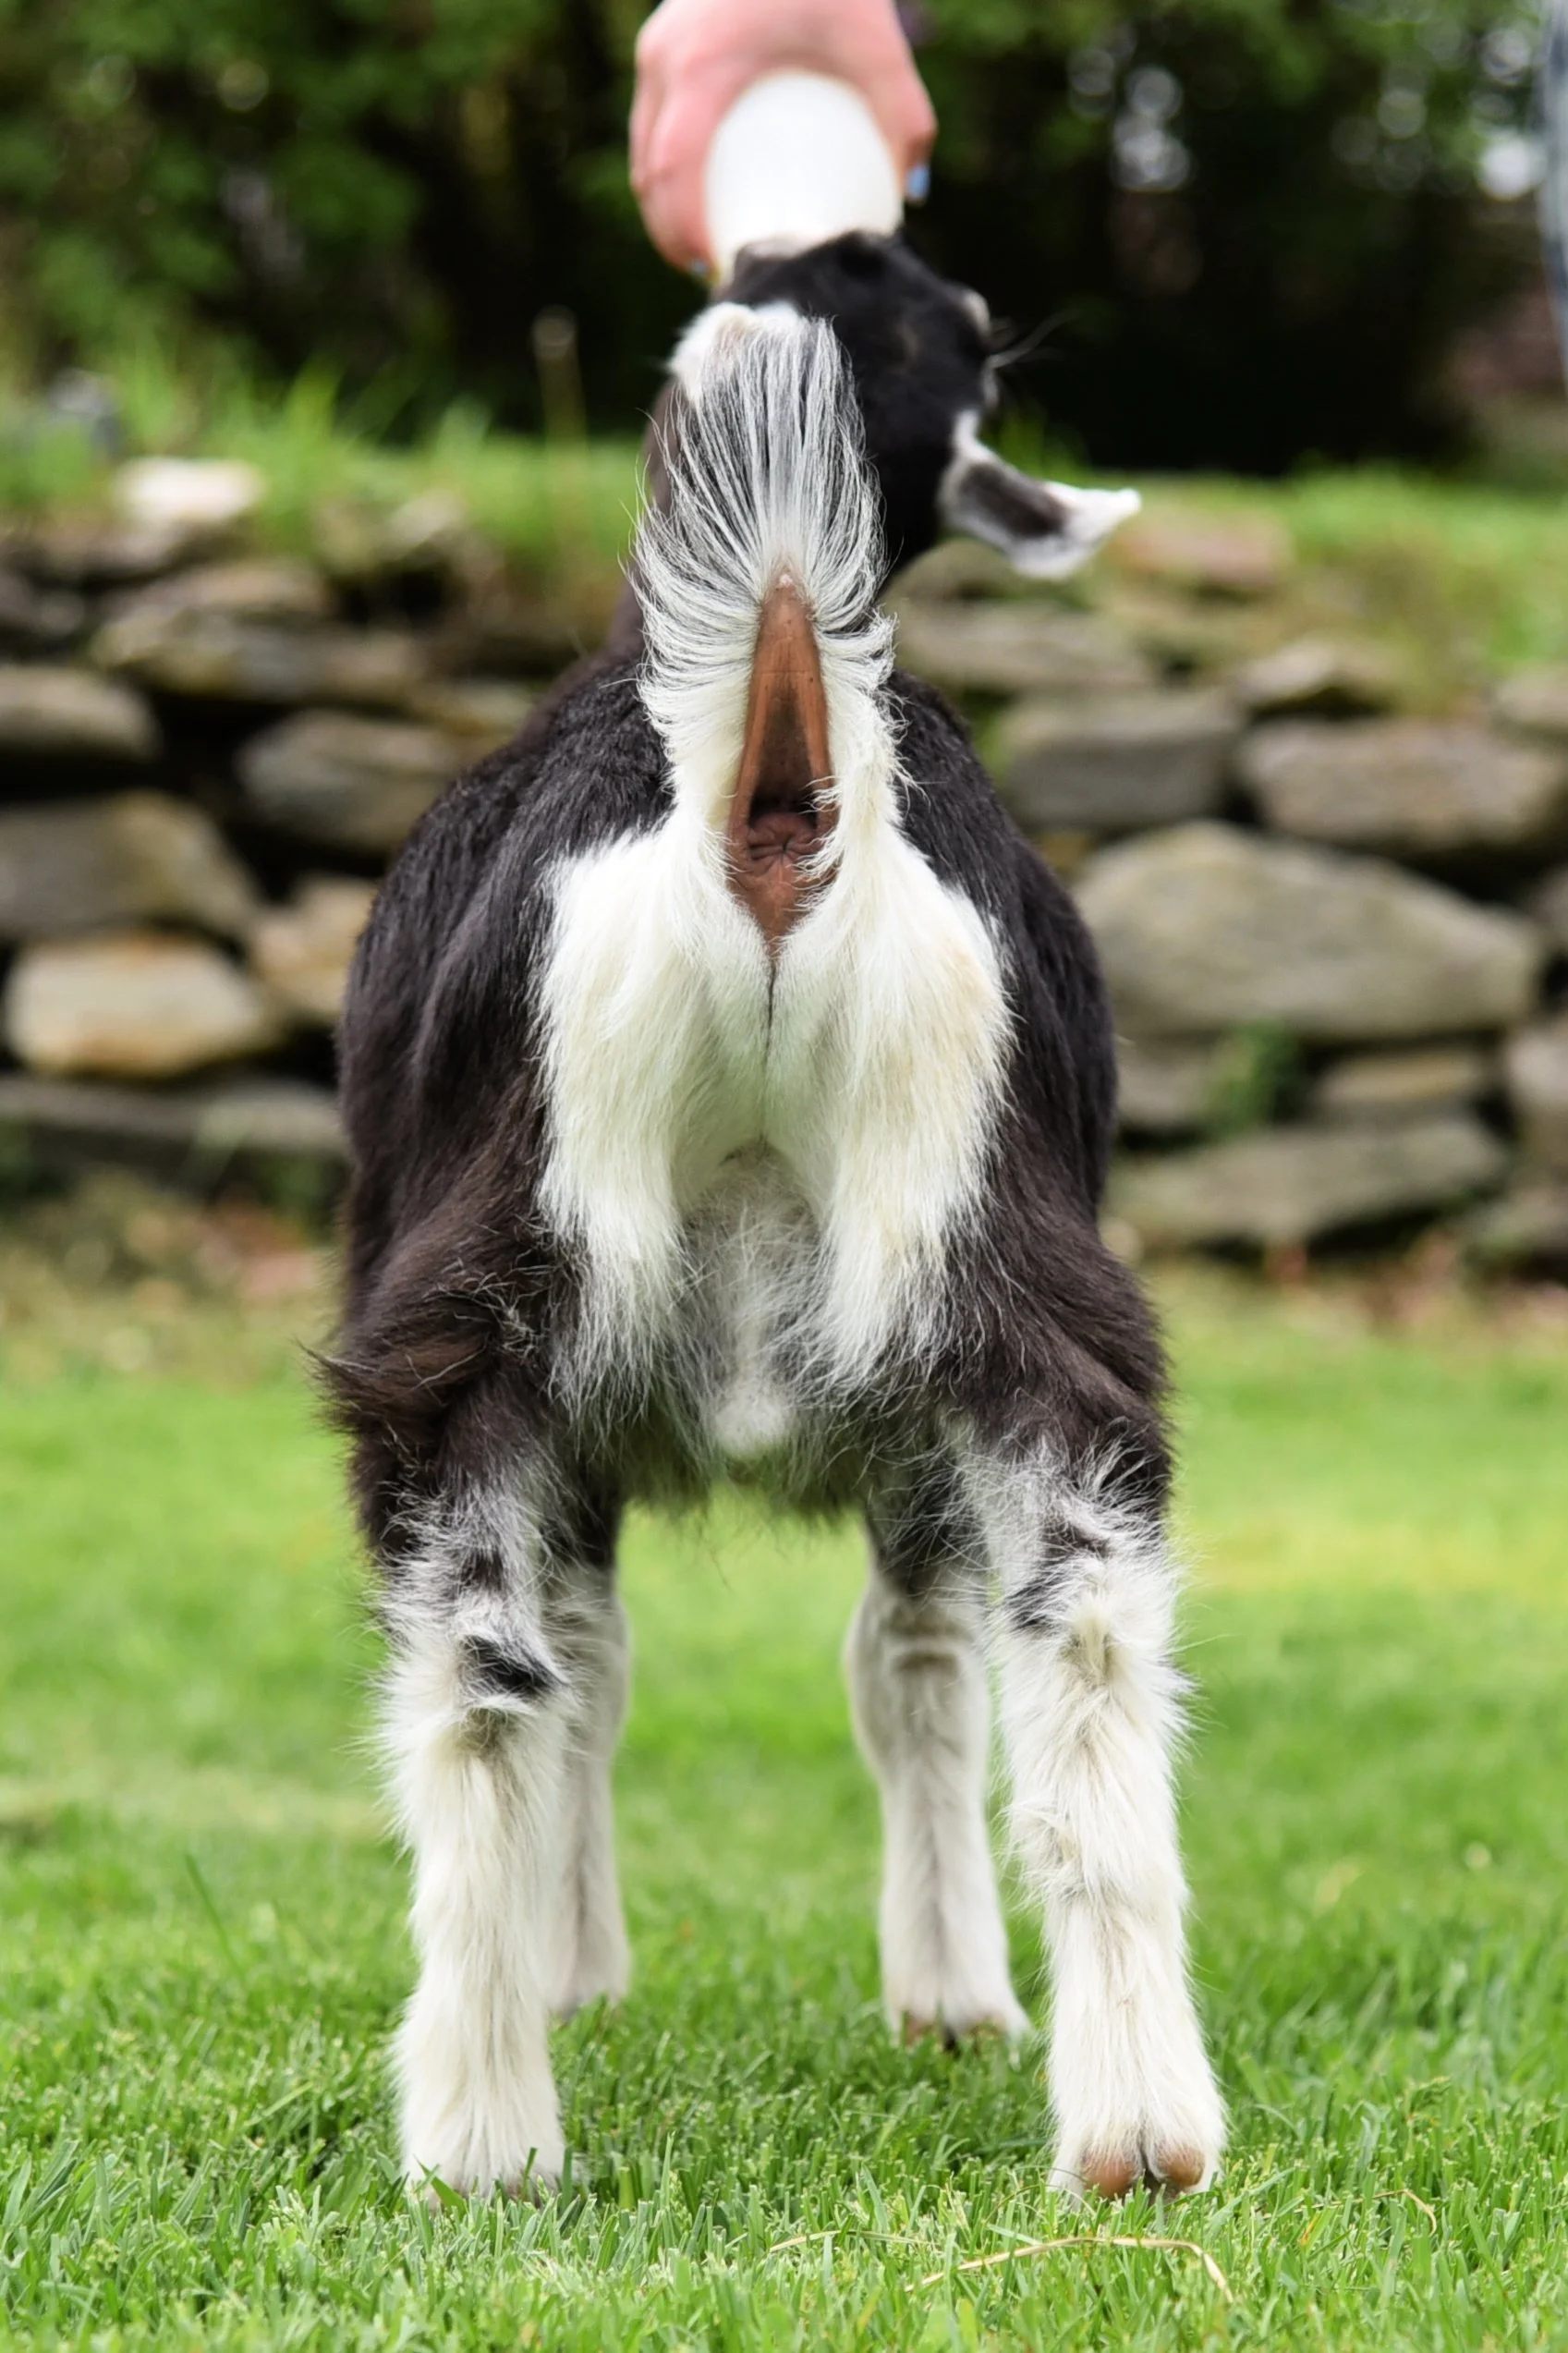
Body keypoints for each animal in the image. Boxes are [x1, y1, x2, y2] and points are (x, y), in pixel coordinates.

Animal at [330, 230, 1225, 2204]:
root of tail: (771, 783)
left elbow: (619, 1660)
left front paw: (603, 1971)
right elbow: (897, 1657)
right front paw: (949, 2000)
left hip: (484, 1300)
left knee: (486, 1675)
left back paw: (478, 2126)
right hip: (998, 1265)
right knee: (1082, 1626)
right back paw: (1137, 2129)